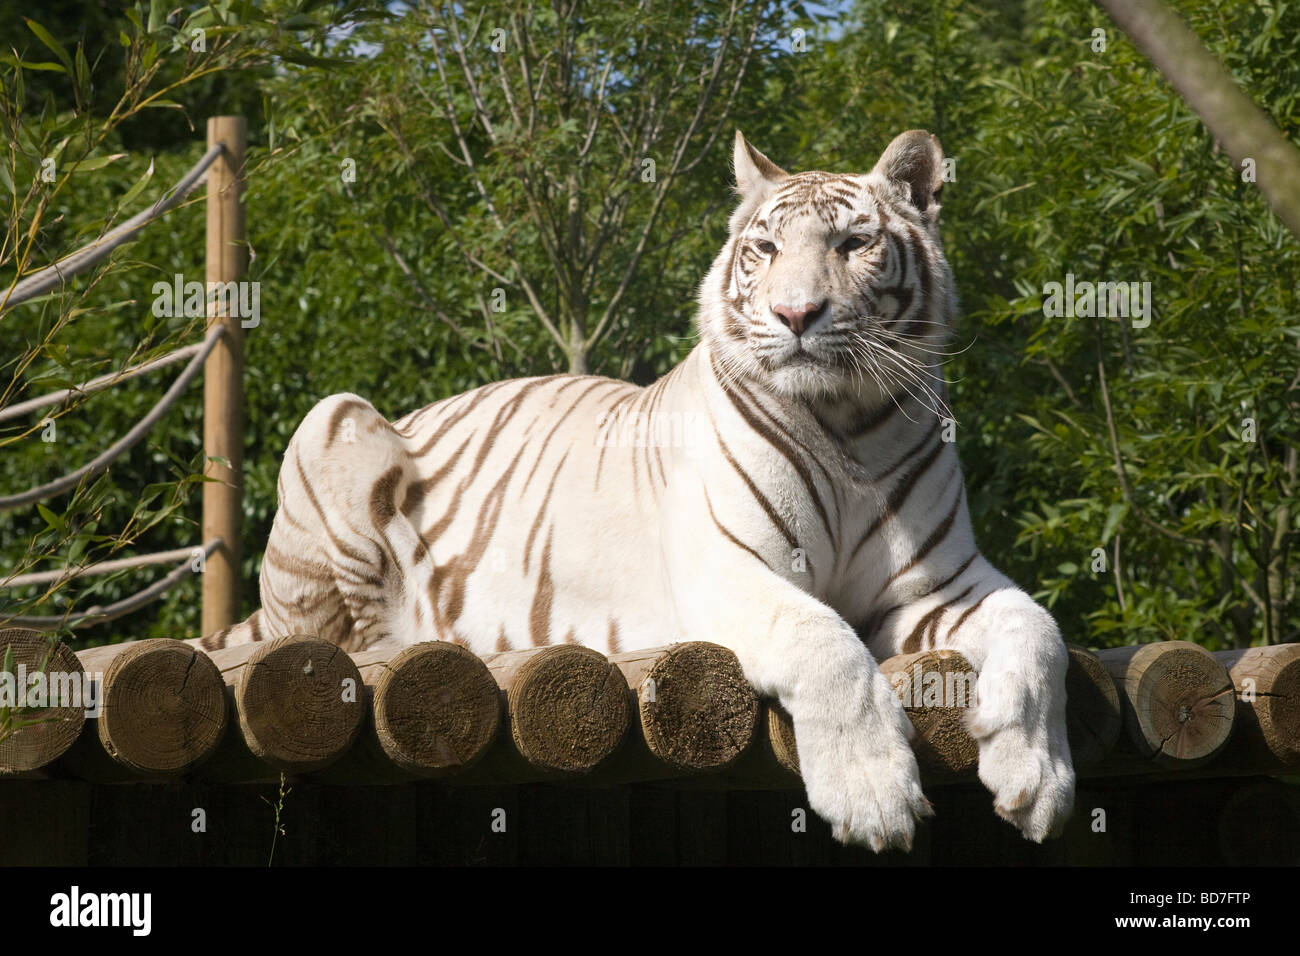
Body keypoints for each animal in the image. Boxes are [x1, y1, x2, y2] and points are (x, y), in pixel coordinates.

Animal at [202, 130, 1075, 851]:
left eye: (855, 243)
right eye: (764, 248)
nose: (796, 313)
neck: (849, 423)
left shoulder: (938, 585)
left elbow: (1039, 629)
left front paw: (1039, 779)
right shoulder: (728, 568)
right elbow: (823, 641)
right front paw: (874, 797)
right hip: (335, 418)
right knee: (336, 637)